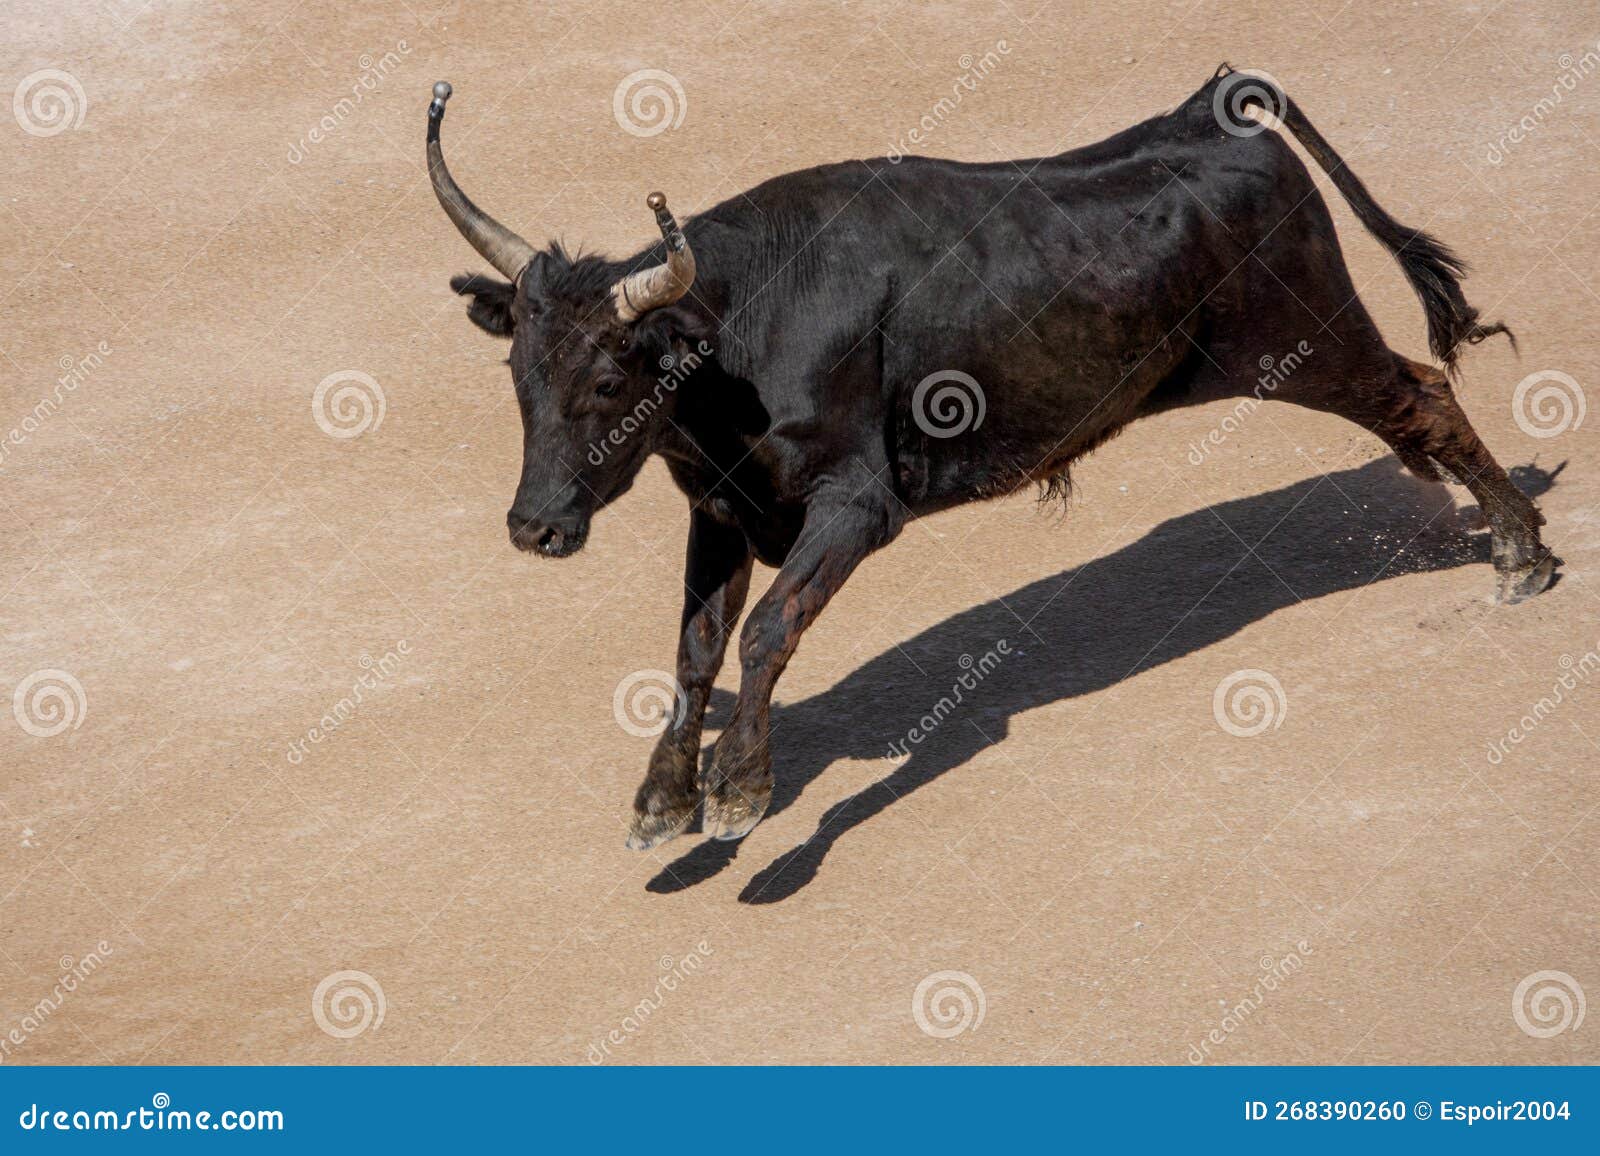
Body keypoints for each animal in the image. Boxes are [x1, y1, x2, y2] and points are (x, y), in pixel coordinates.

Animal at [424, 68, 1557, 851]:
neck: (739, 331)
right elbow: (696, 646)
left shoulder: (854, 507)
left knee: (1424, 398)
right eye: (518, 377)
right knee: (1417, 406)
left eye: (611, 383)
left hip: (1306, 339)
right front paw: (662, 801)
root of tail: (1214, 110)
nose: (534, 527)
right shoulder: (721, 505)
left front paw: (740, 792)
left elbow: (766, 631)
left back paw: (1522, 557)